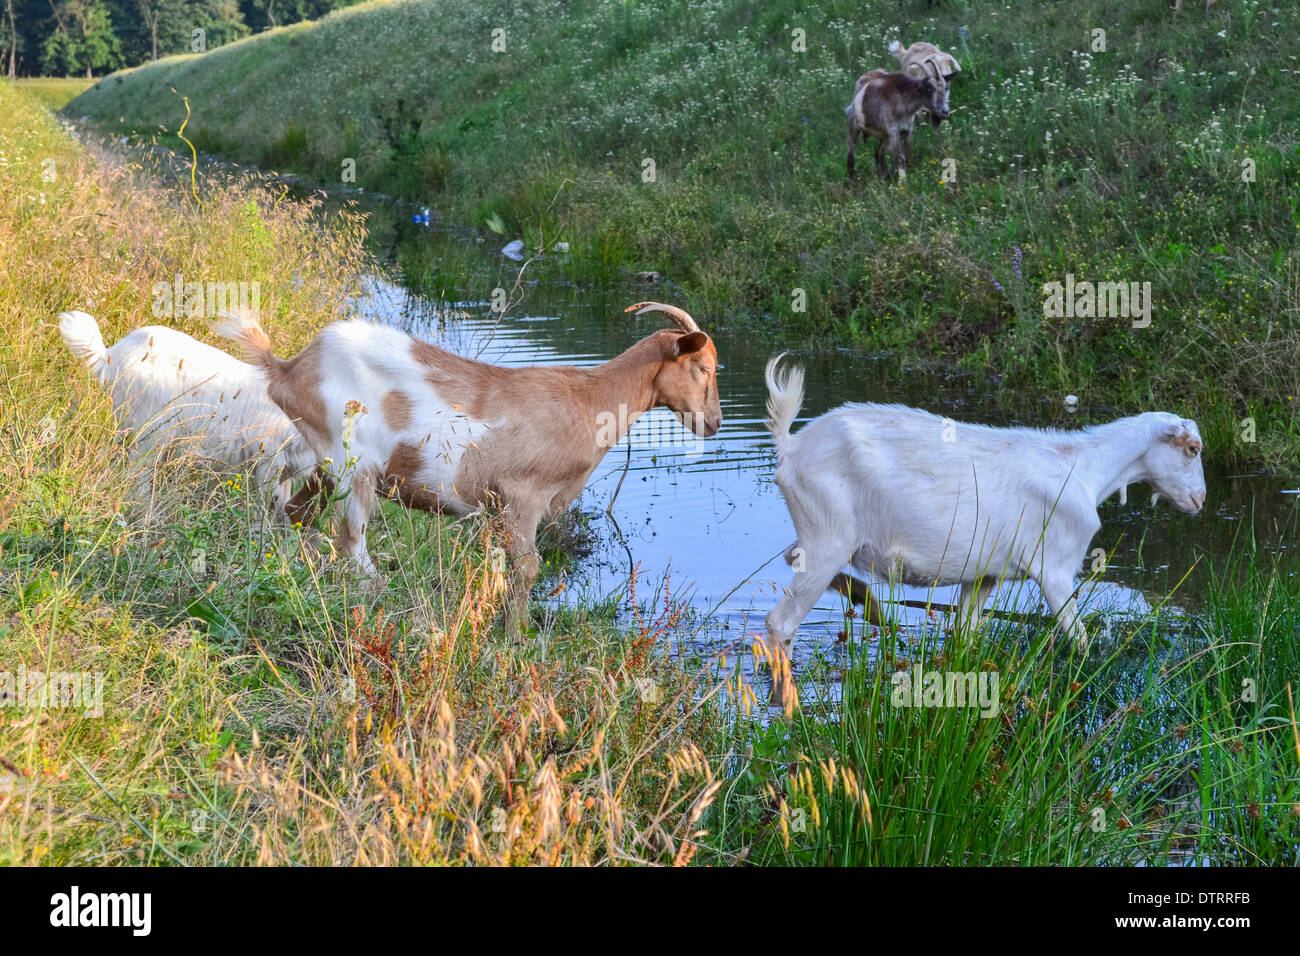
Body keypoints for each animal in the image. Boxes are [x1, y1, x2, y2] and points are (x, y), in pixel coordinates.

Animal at [59, 310, 318, 521]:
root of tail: (109, 355)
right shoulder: (270, 458)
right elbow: (266, 503)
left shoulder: (286, 469)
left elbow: (280, 504)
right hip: (151, 428)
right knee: (138, 469)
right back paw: (144, 508)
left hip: (129, 422)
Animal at [215, 303, 722, 628]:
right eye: (704, 368)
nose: (715, 422)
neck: (589, 399)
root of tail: (288, 369)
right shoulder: (522, 495)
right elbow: (530, 567)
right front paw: (518, 635)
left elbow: (498, 570)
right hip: (350, 465)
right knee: (349, 541)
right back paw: (380, 596)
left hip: (319, 459)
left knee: (289, 502)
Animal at [762, 354, 1206, 661]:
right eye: (1192, 448)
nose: (1200, 500)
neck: (1084, 468)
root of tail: (793, 447)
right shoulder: (1056, 569)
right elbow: (1077, 636)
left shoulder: (984, 576)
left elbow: (967, 635)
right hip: (829, 538)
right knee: (781, 622)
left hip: (818, 536)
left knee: (792, 562)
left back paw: (866, 602)